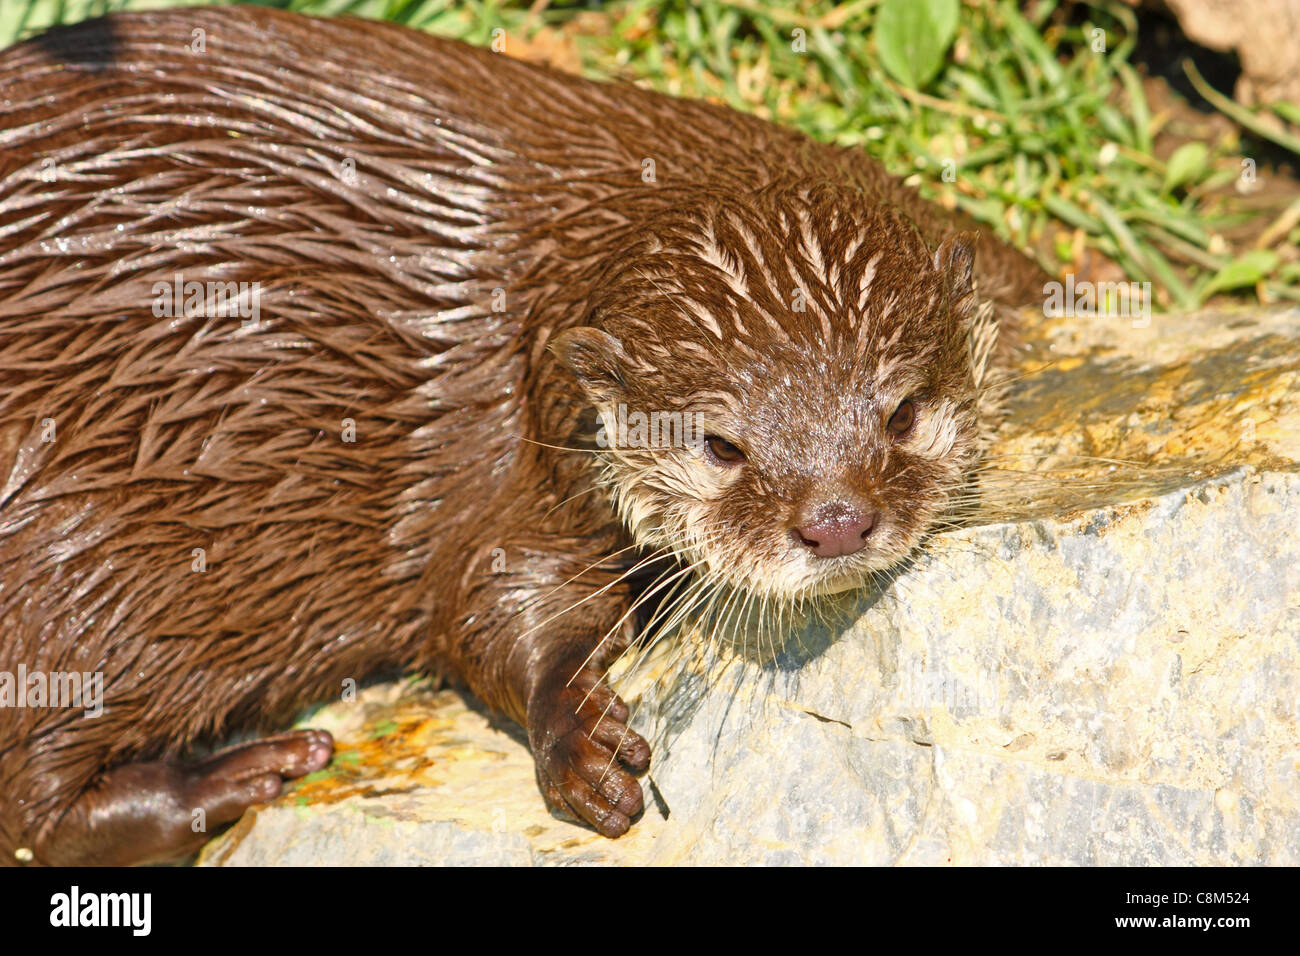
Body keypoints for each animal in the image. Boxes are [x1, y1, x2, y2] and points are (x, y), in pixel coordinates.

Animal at [0, 6, 1047, 865]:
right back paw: (249, 773)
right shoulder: (511, 439)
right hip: (73, 558)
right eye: (719, 446)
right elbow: (485, 599)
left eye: (902, 412)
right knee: (39, 802)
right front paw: (578, 738)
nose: (835, 522)